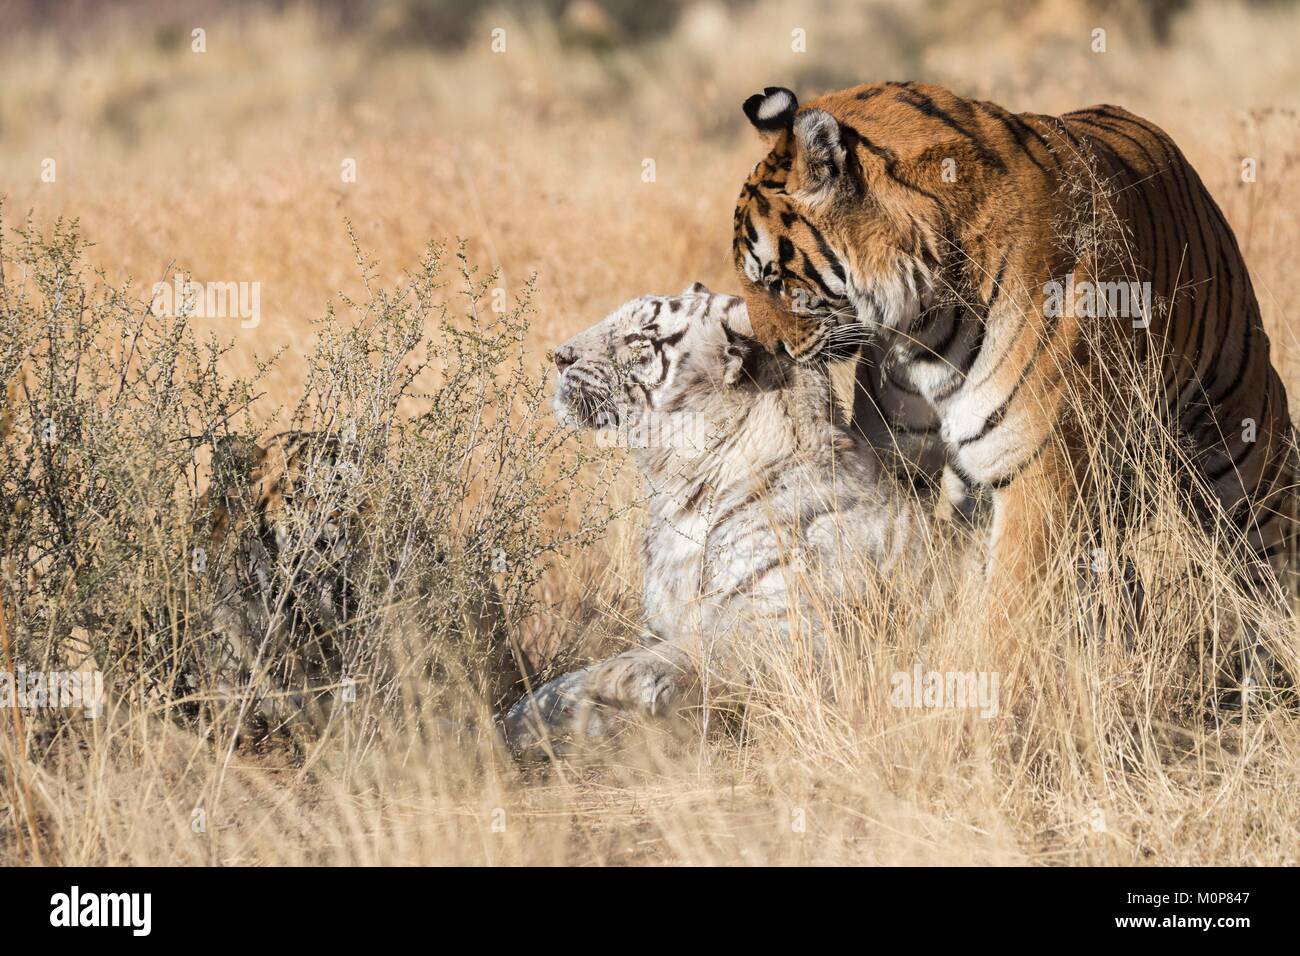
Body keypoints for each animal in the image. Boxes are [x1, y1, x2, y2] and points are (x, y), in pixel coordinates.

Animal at [502, 284, 924, 752]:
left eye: (638, 339)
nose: (558, 356)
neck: (683, 494)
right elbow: (560, 687)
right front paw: (520, 718)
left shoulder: (806, 633)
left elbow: (716, 644)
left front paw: (625, 677)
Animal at [731, 82, 1295, 688]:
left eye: (772, 279)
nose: (767, 353)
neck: (920, 329)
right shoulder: (901, 465)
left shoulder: (1039, 470)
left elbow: (1009, 607)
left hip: (1241, 449)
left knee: (1269, 564)